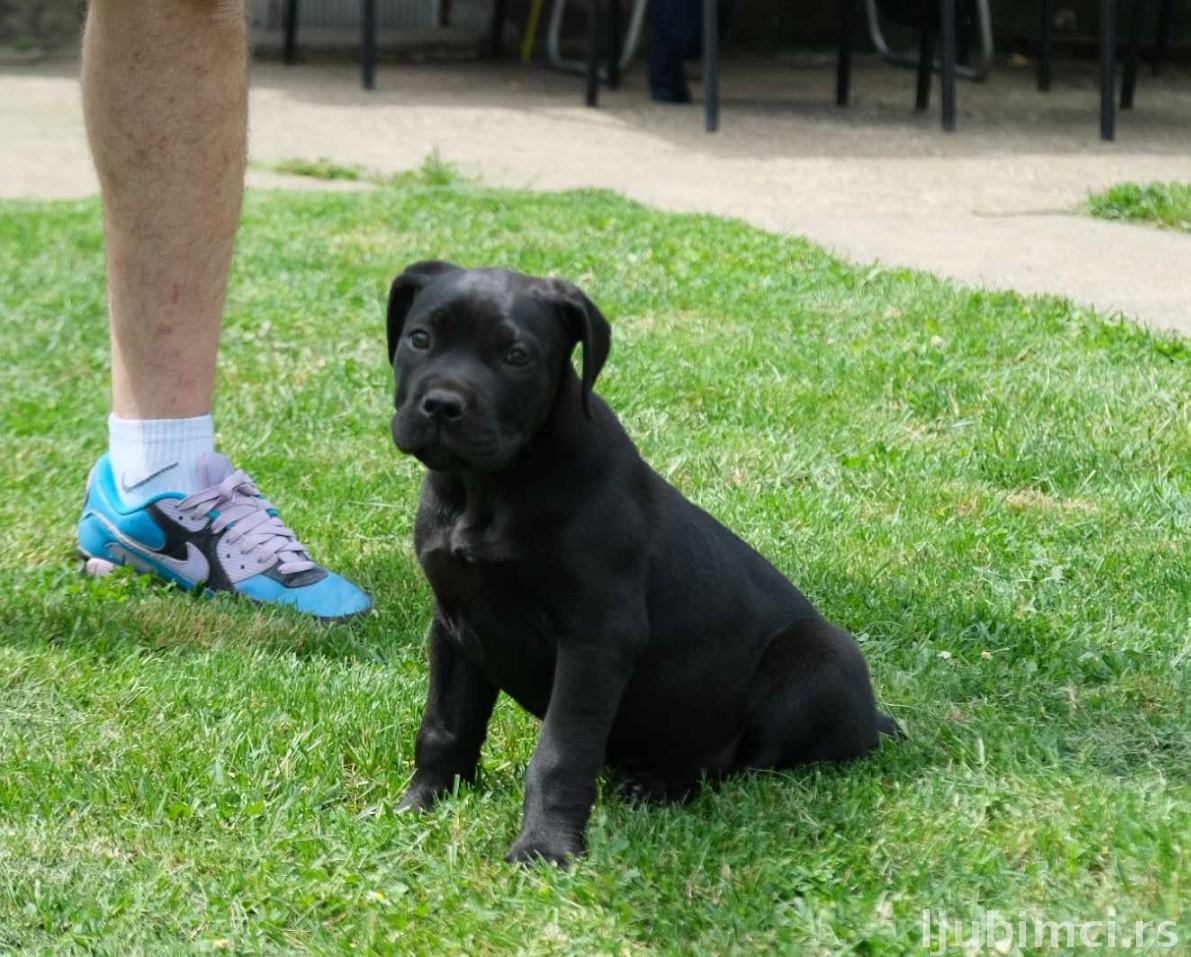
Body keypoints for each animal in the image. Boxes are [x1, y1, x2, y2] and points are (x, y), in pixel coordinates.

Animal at [385, 258, 895, 861]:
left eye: (517, 357)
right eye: (419, 339)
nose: (441, 405)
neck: (488, 489)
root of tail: (875, 721)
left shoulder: (596, 638)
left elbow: (561, 752)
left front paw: (544, 848)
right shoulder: (455, 624)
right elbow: (445, 724)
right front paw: (419, 805)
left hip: (821, 655)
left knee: (740, 765)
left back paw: (660, 787)